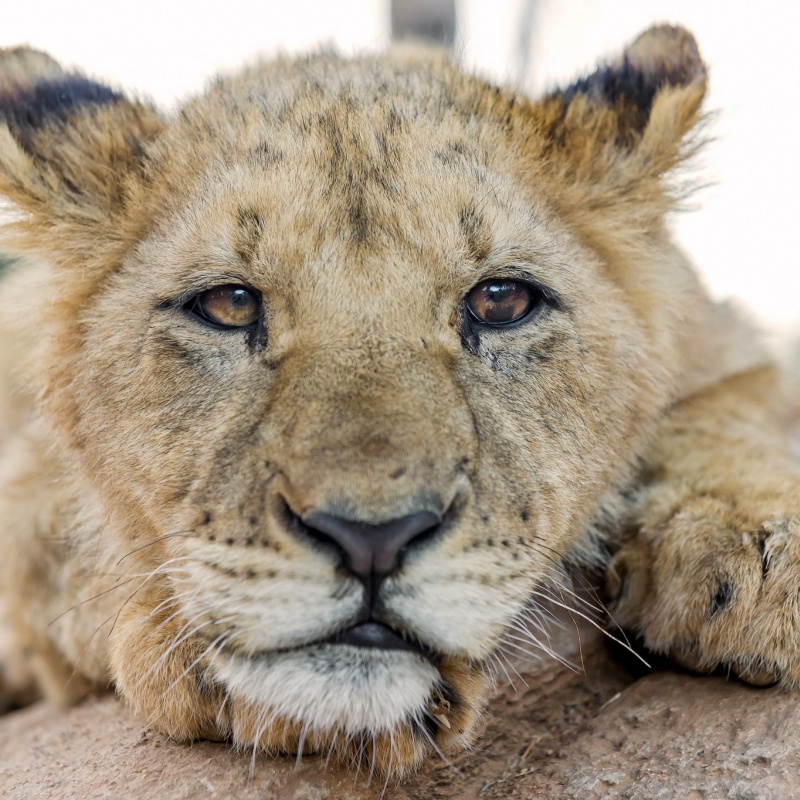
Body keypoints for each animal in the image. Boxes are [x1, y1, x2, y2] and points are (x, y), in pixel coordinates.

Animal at [0, 25, 798, 778]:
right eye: (229, 305)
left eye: (501, 301)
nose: (371, 540)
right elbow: (61, 540)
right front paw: (186, 640)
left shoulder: (729, 340)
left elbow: (732, 408)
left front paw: (759, 553)